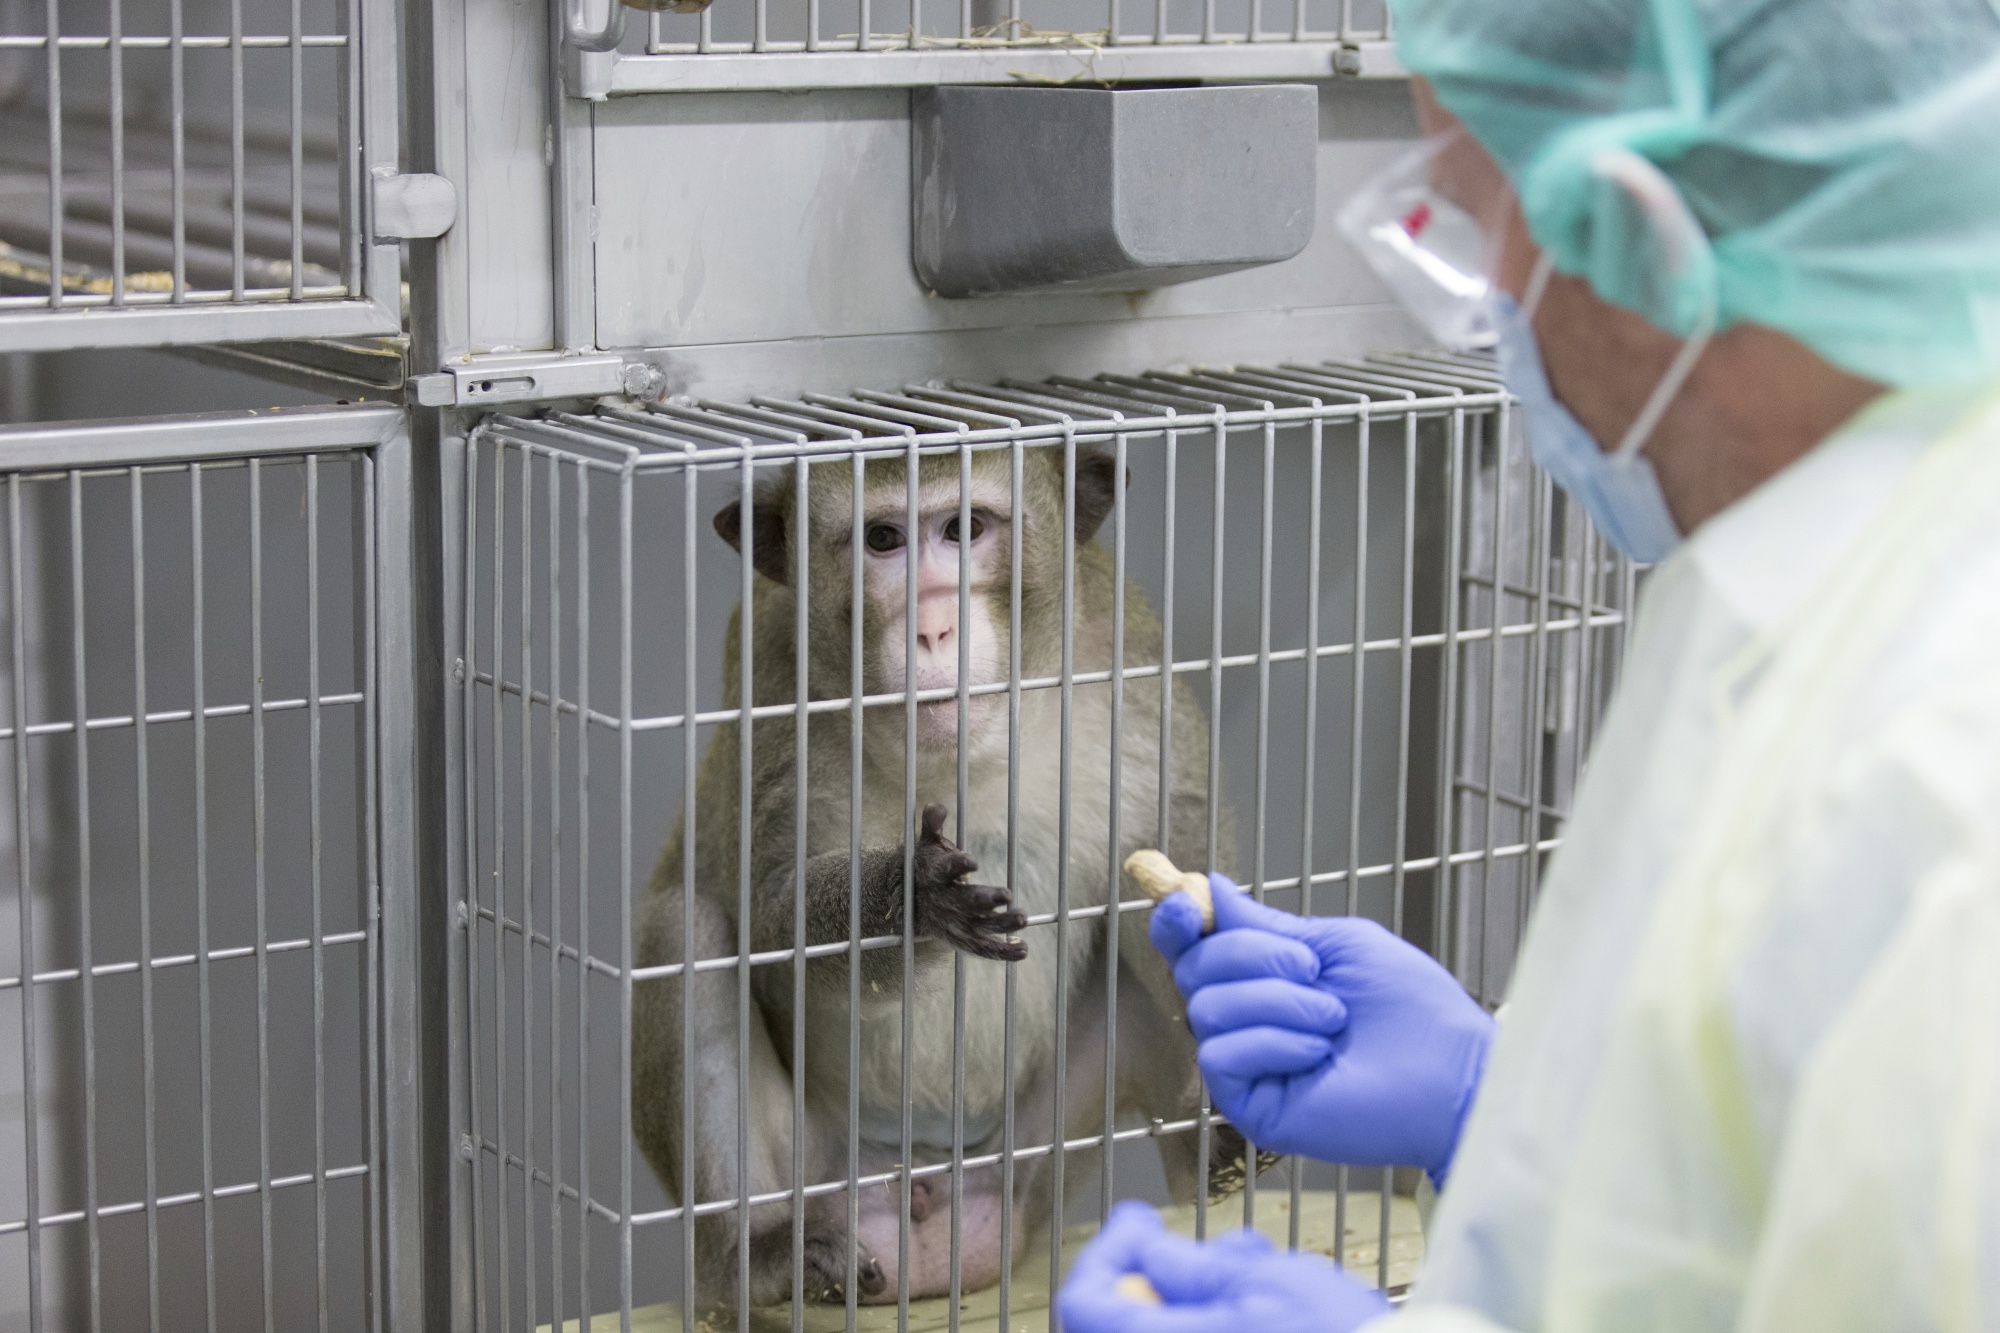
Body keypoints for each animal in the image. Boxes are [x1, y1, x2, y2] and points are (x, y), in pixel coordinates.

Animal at [631, 443, 1254, 1319]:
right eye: (884, 539)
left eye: (966, 529)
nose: (932, 626)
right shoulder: (771, 680)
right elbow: (771, 919)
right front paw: (910, 898)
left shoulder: (1128, 655)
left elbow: (1171, 856)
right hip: (812, 1171)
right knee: (685, 930)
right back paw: (755, 1259)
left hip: (1029, 1157)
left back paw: (1213, 1152)